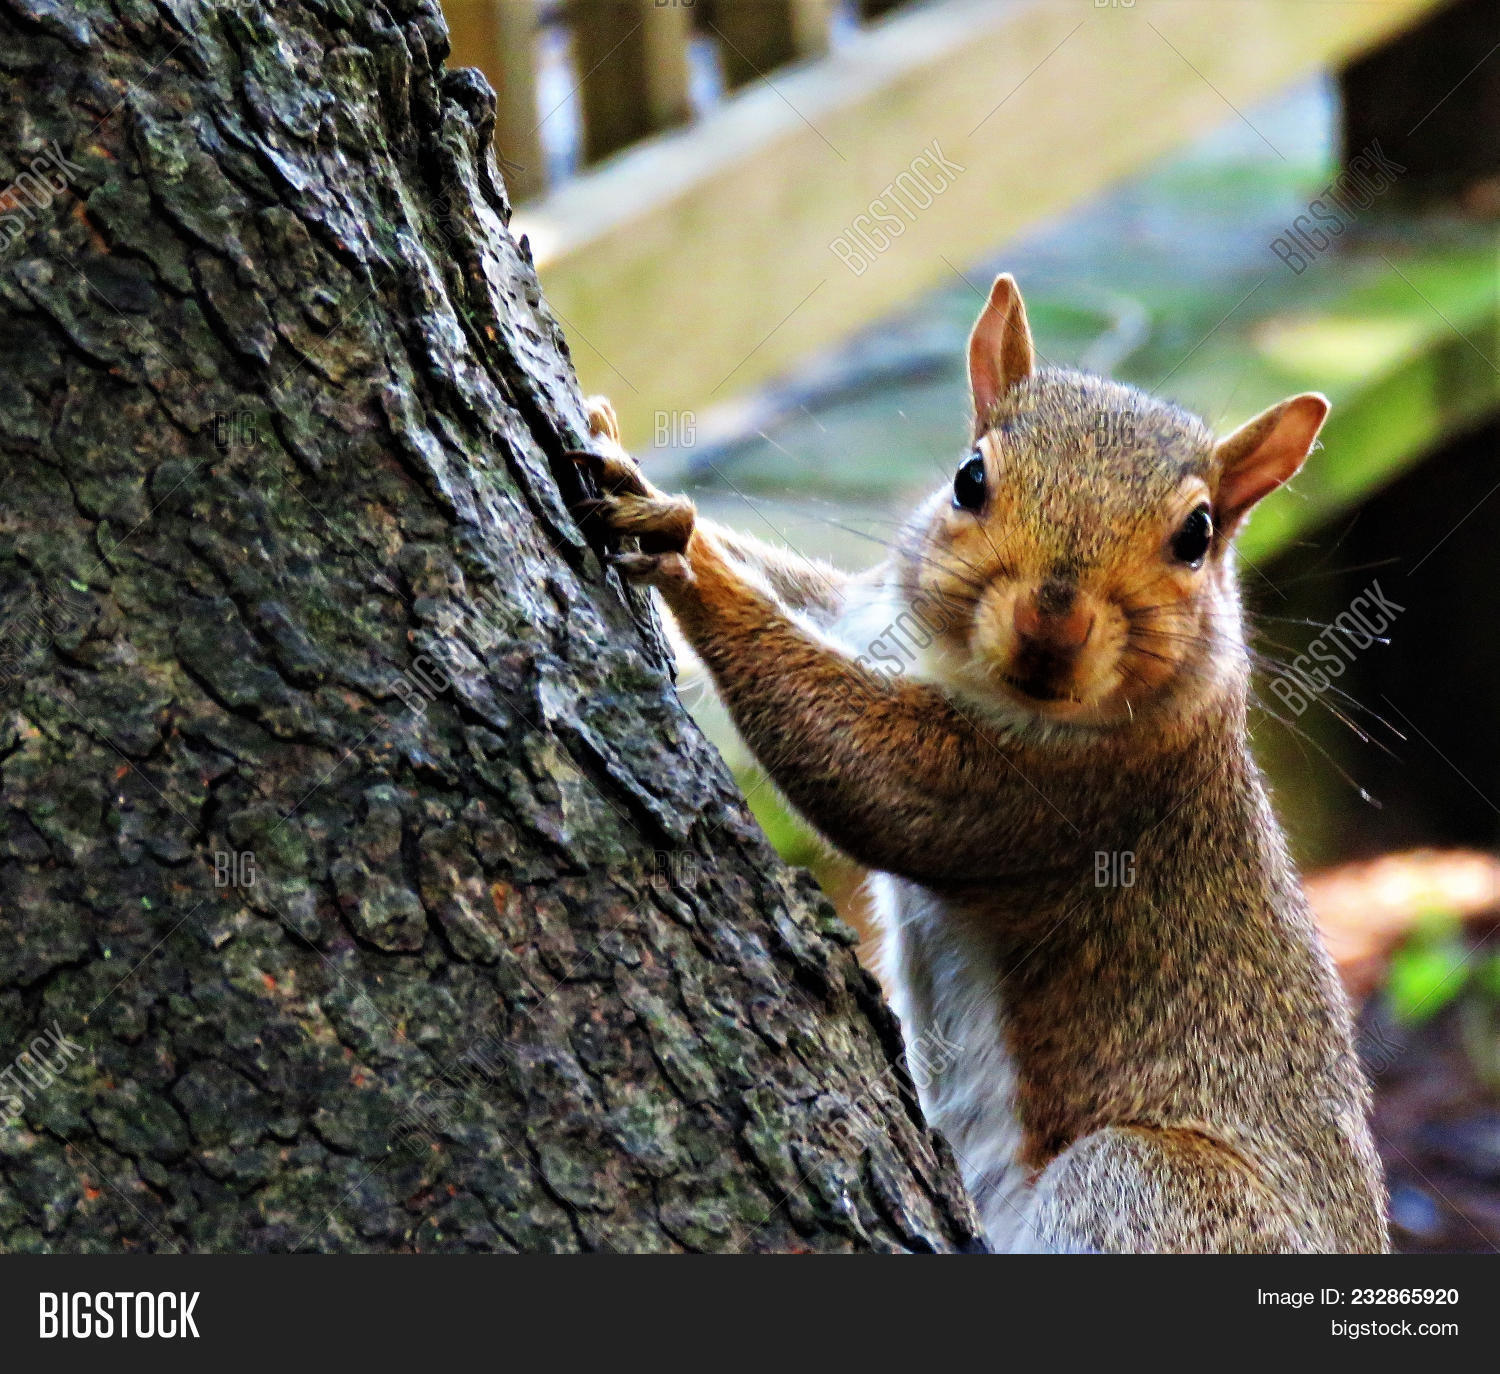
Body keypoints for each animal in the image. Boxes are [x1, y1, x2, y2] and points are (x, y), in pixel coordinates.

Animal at [568, 273, 1389, 1254]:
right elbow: (797, 590)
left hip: (1149, 1185)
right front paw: (632, 462)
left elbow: (873, 778)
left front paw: (680, 551)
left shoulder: (1071, 793)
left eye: (1197, 536)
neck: (961, 666)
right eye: (969, 478)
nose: (1052, 624)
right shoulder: (864, 617)